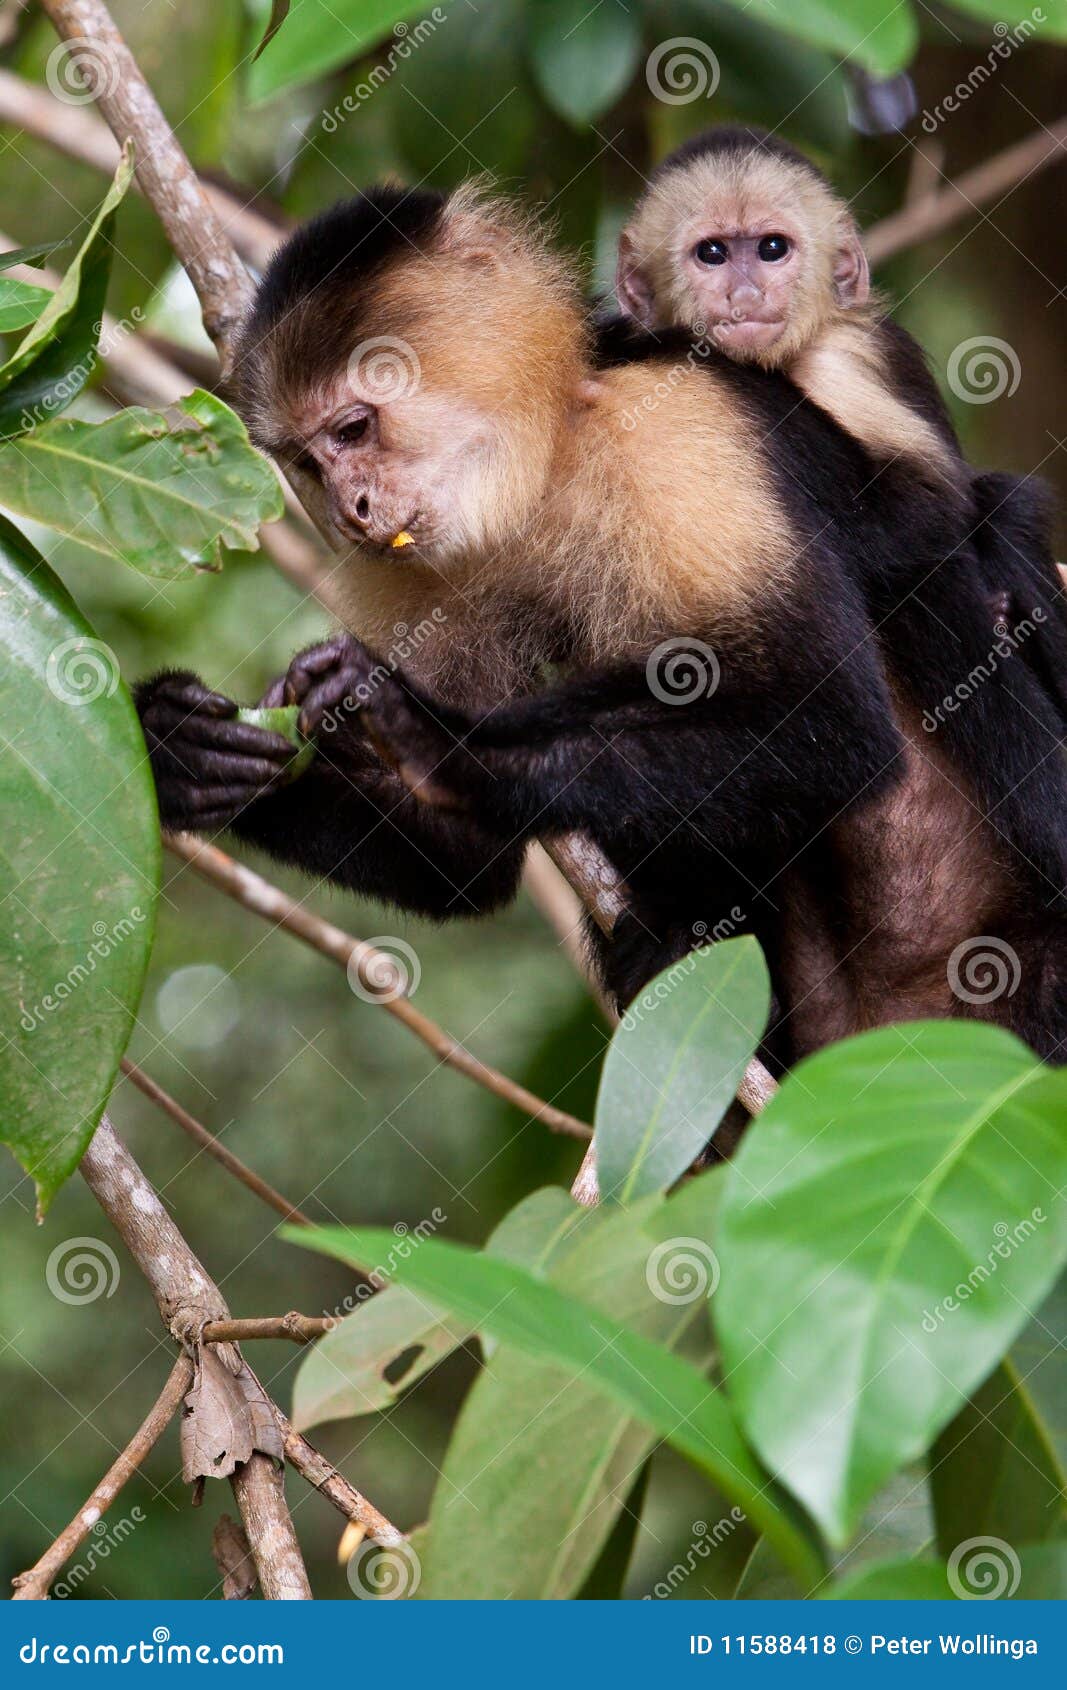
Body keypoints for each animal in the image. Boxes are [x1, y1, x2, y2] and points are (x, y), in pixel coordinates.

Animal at [615, 125, 1067, 717]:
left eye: (772, 249)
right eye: (712, 253)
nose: (746, 294)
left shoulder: (839, 361)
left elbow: (922, 509)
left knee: (1006, 504)